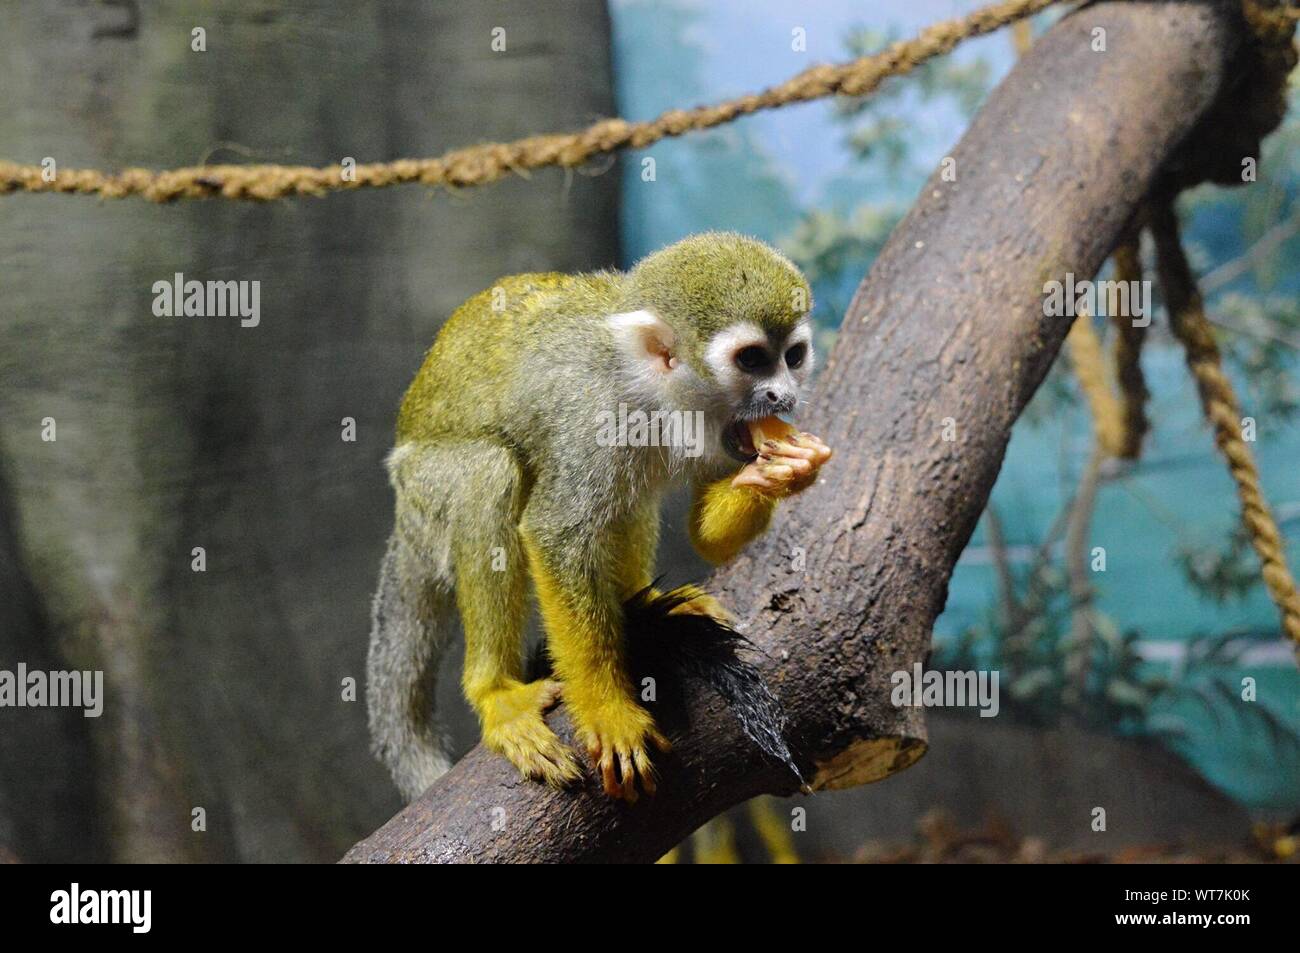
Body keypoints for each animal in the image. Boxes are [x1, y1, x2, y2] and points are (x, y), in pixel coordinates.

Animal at [366, 232, 833, 802]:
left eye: (793, 356)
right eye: (751, 360)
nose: (782, 395)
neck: (655, 397)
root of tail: (402, 506)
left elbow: (705, 539)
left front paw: (783, 472)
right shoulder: (596, 417)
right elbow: (554, 533)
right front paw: (606, 709)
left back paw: (641, 601)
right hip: (425, 488)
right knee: (488, 473)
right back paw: (495, 692)